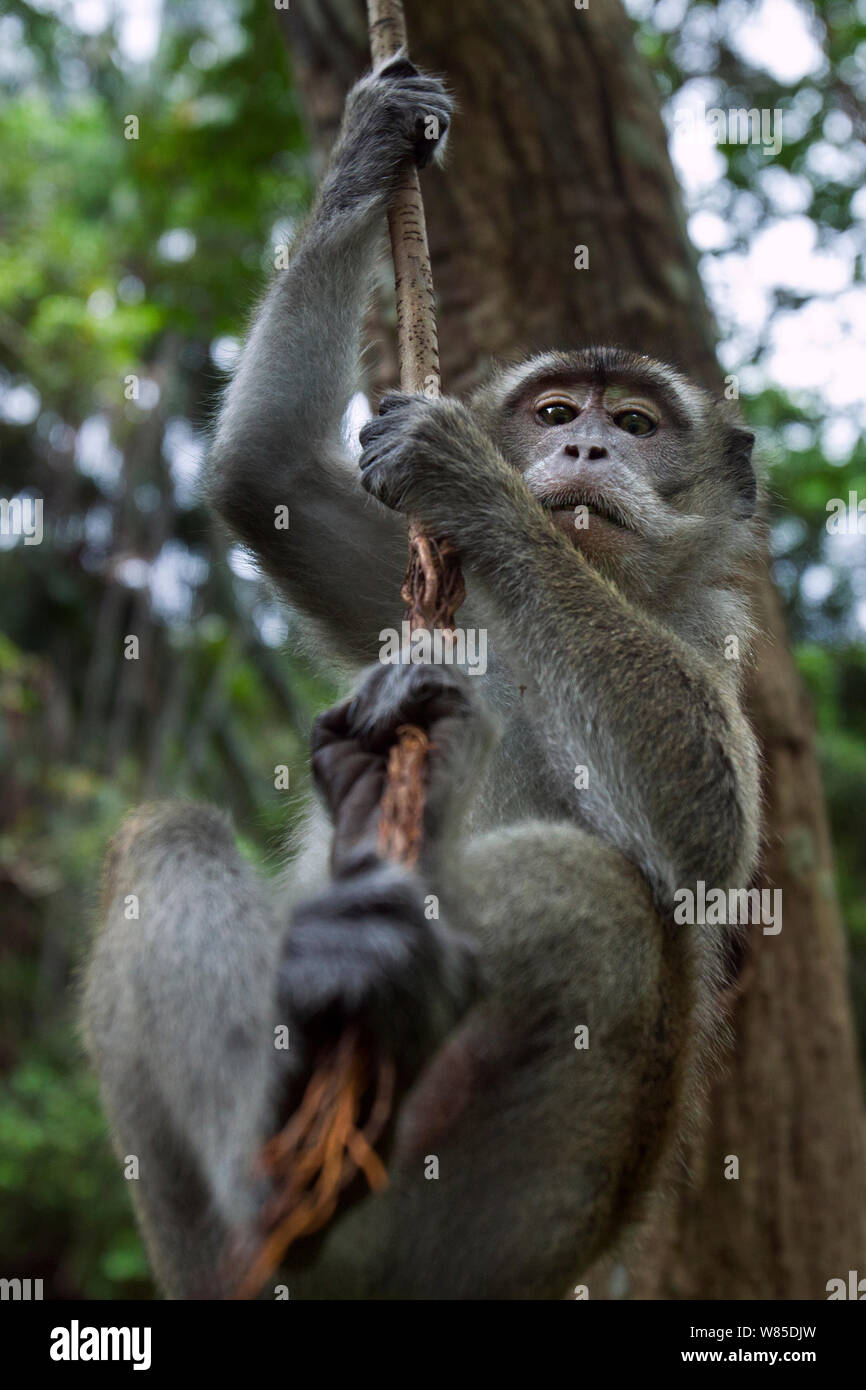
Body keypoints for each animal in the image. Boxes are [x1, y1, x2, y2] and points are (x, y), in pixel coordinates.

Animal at [81, 54, 761, 1300]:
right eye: (555, 411)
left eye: (636, 423)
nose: (581, 449)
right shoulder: (422, 579)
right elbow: (264, 479)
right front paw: (372, 142)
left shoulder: (706, 628)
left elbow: (703, 832)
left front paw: (474, 475)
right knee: (166, 837)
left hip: (494, 1217)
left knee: (598, 900)